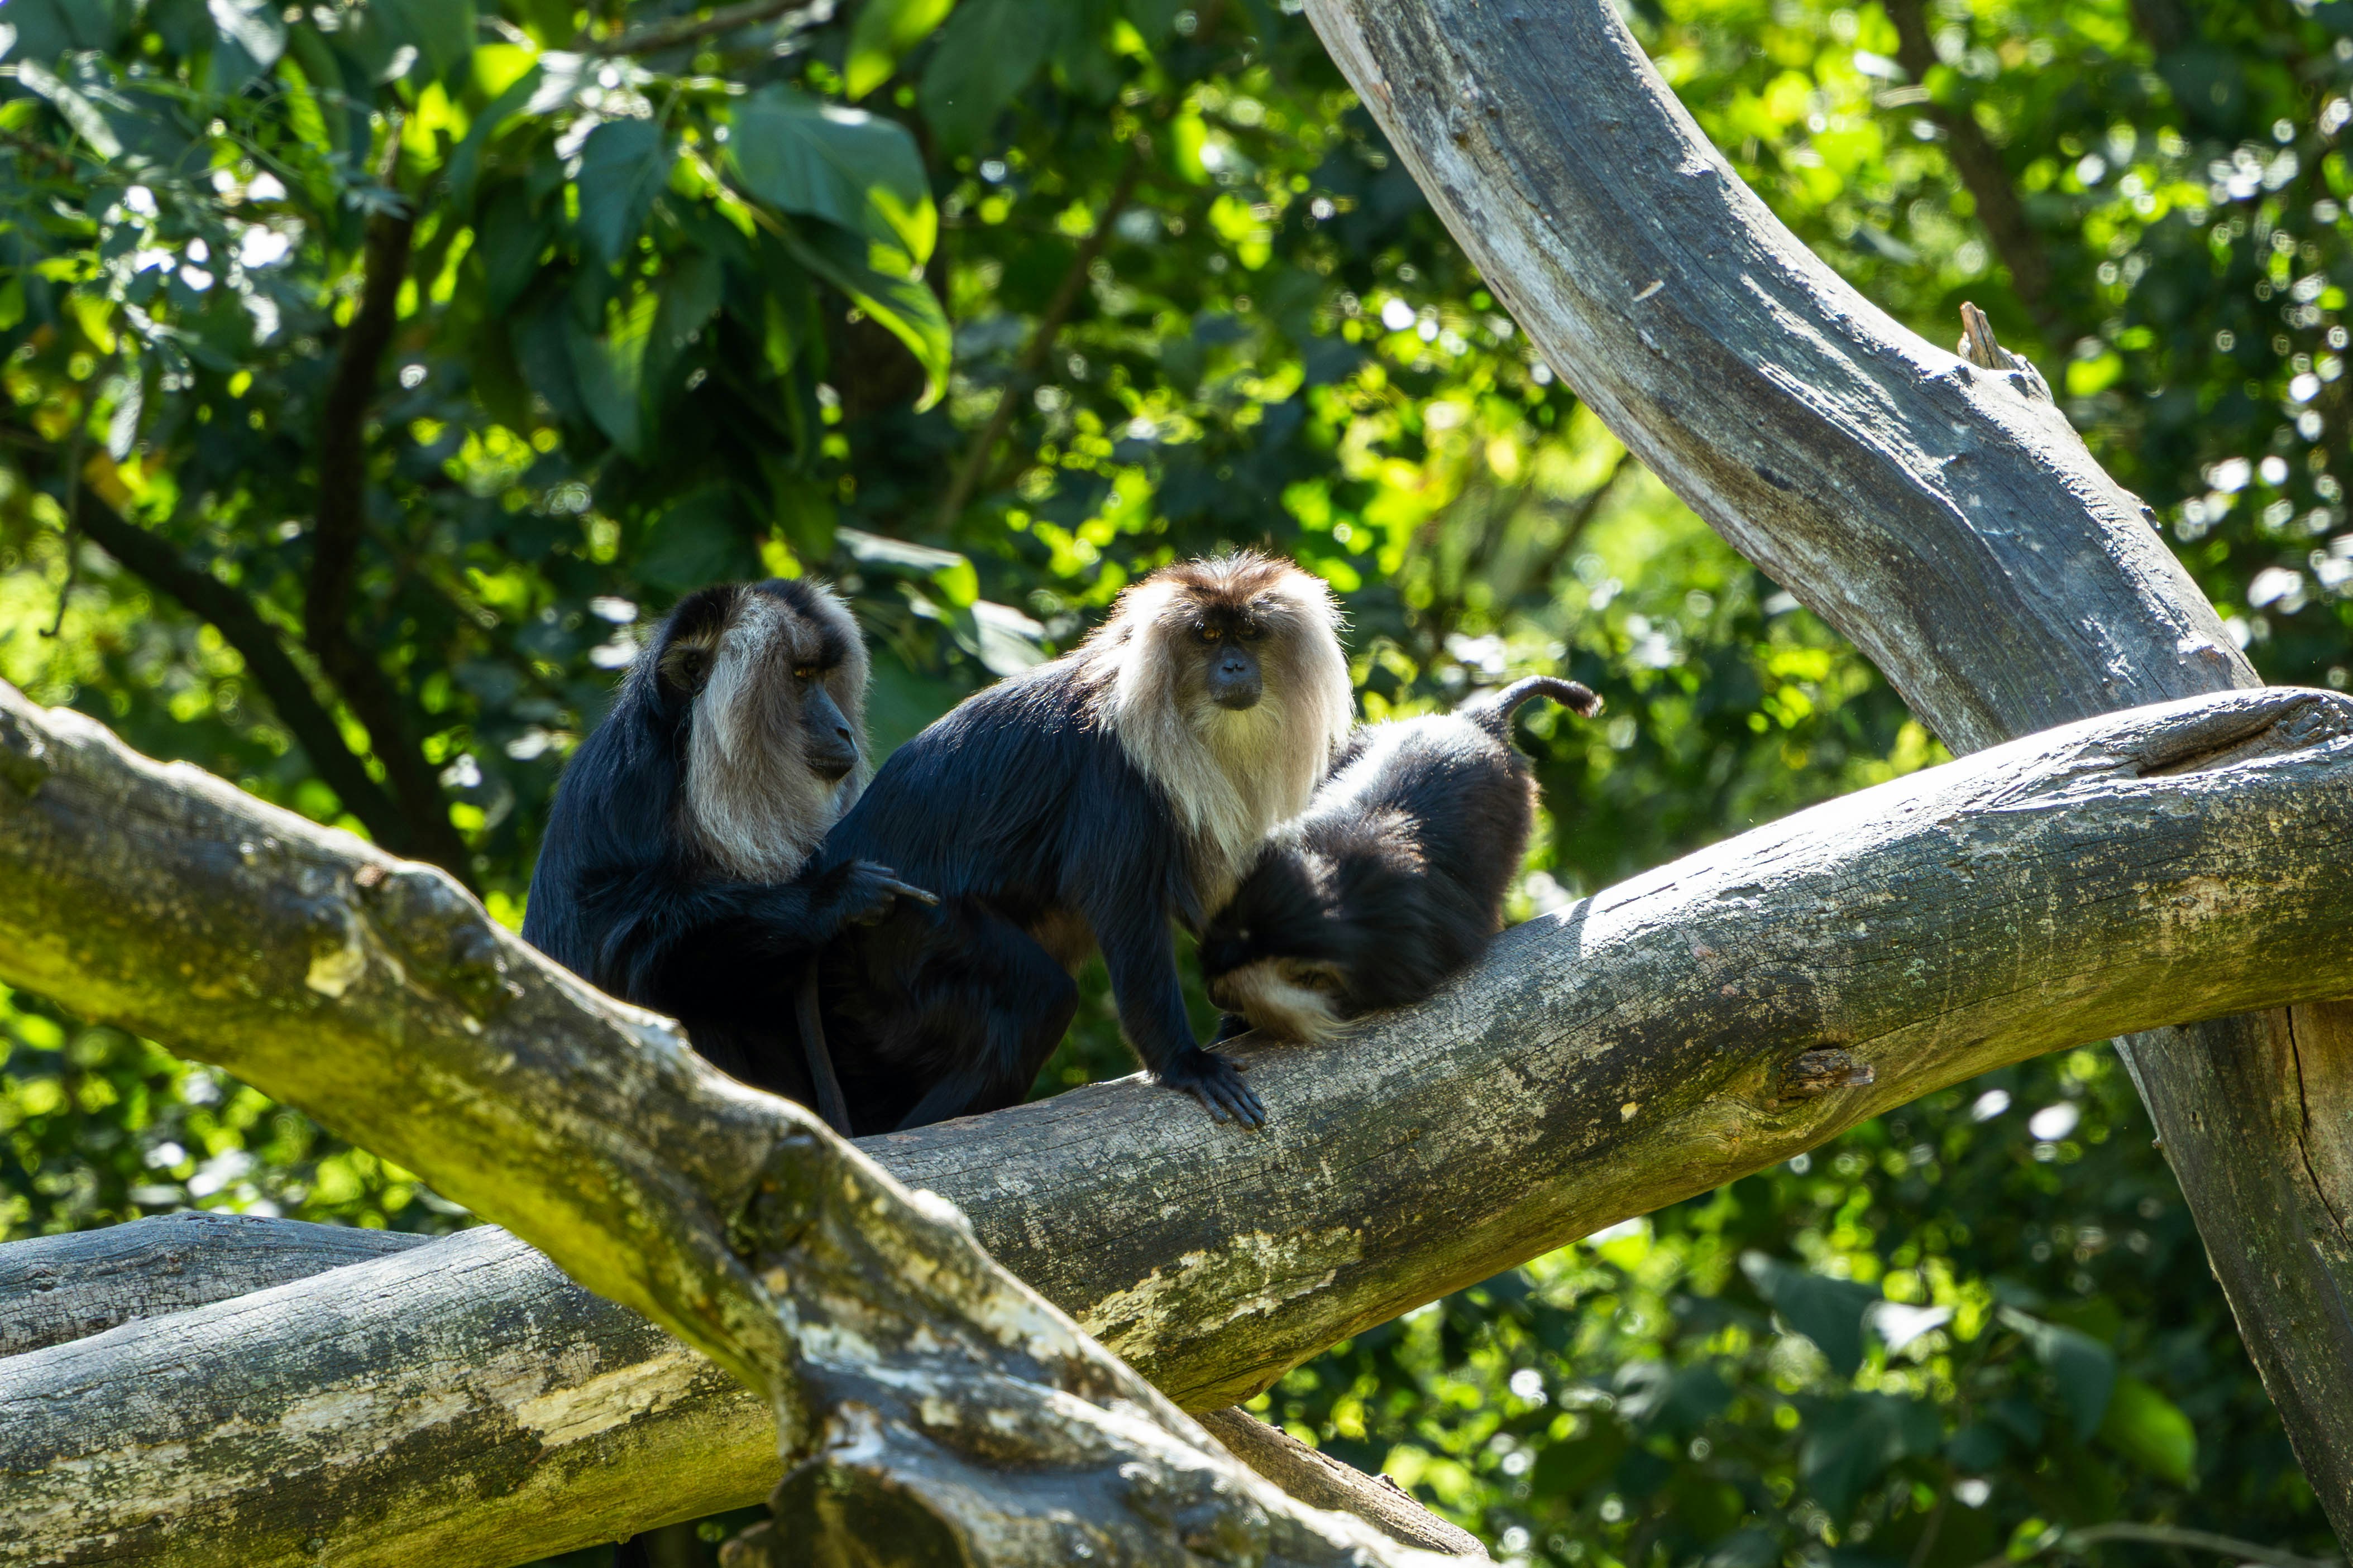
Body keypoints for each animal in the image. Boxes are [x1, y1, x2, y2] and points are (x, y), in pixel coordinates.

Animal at [522, 578, 932, 1103]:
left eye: (823, 677)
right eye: (801, 676)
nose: (843, 729)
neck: (691, 768)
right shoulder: (628, 790)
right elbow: (619, 956)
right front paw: (833, 896)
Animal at [810, 551, 1356, 1132]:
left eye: (1250, 634)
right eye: (1208, 636)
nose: (1234, 667)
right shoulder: (1115, 772)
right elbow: (1122, 907)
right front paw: (1184, 1064)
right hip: (908, 918)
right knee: (1040, 999)